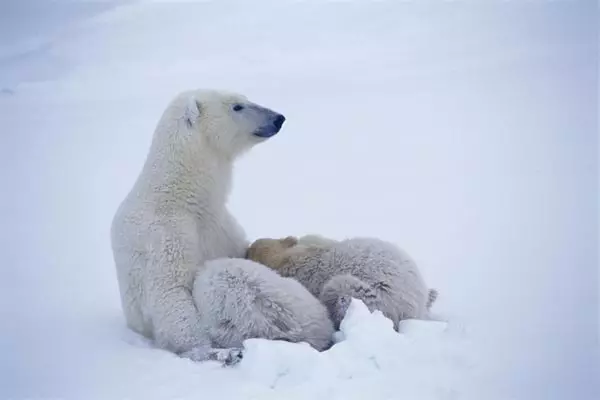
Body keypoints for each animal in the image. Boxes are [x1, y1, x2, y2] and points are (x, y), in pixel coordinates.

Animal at [110, 89, 336, 364]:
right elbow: (169, 293)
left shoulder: (220, 227)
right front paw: (212, 351)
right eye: (237, 106)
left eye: (245, 98)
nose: (278, 118)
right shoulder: (164, 235)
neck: (181, 193)